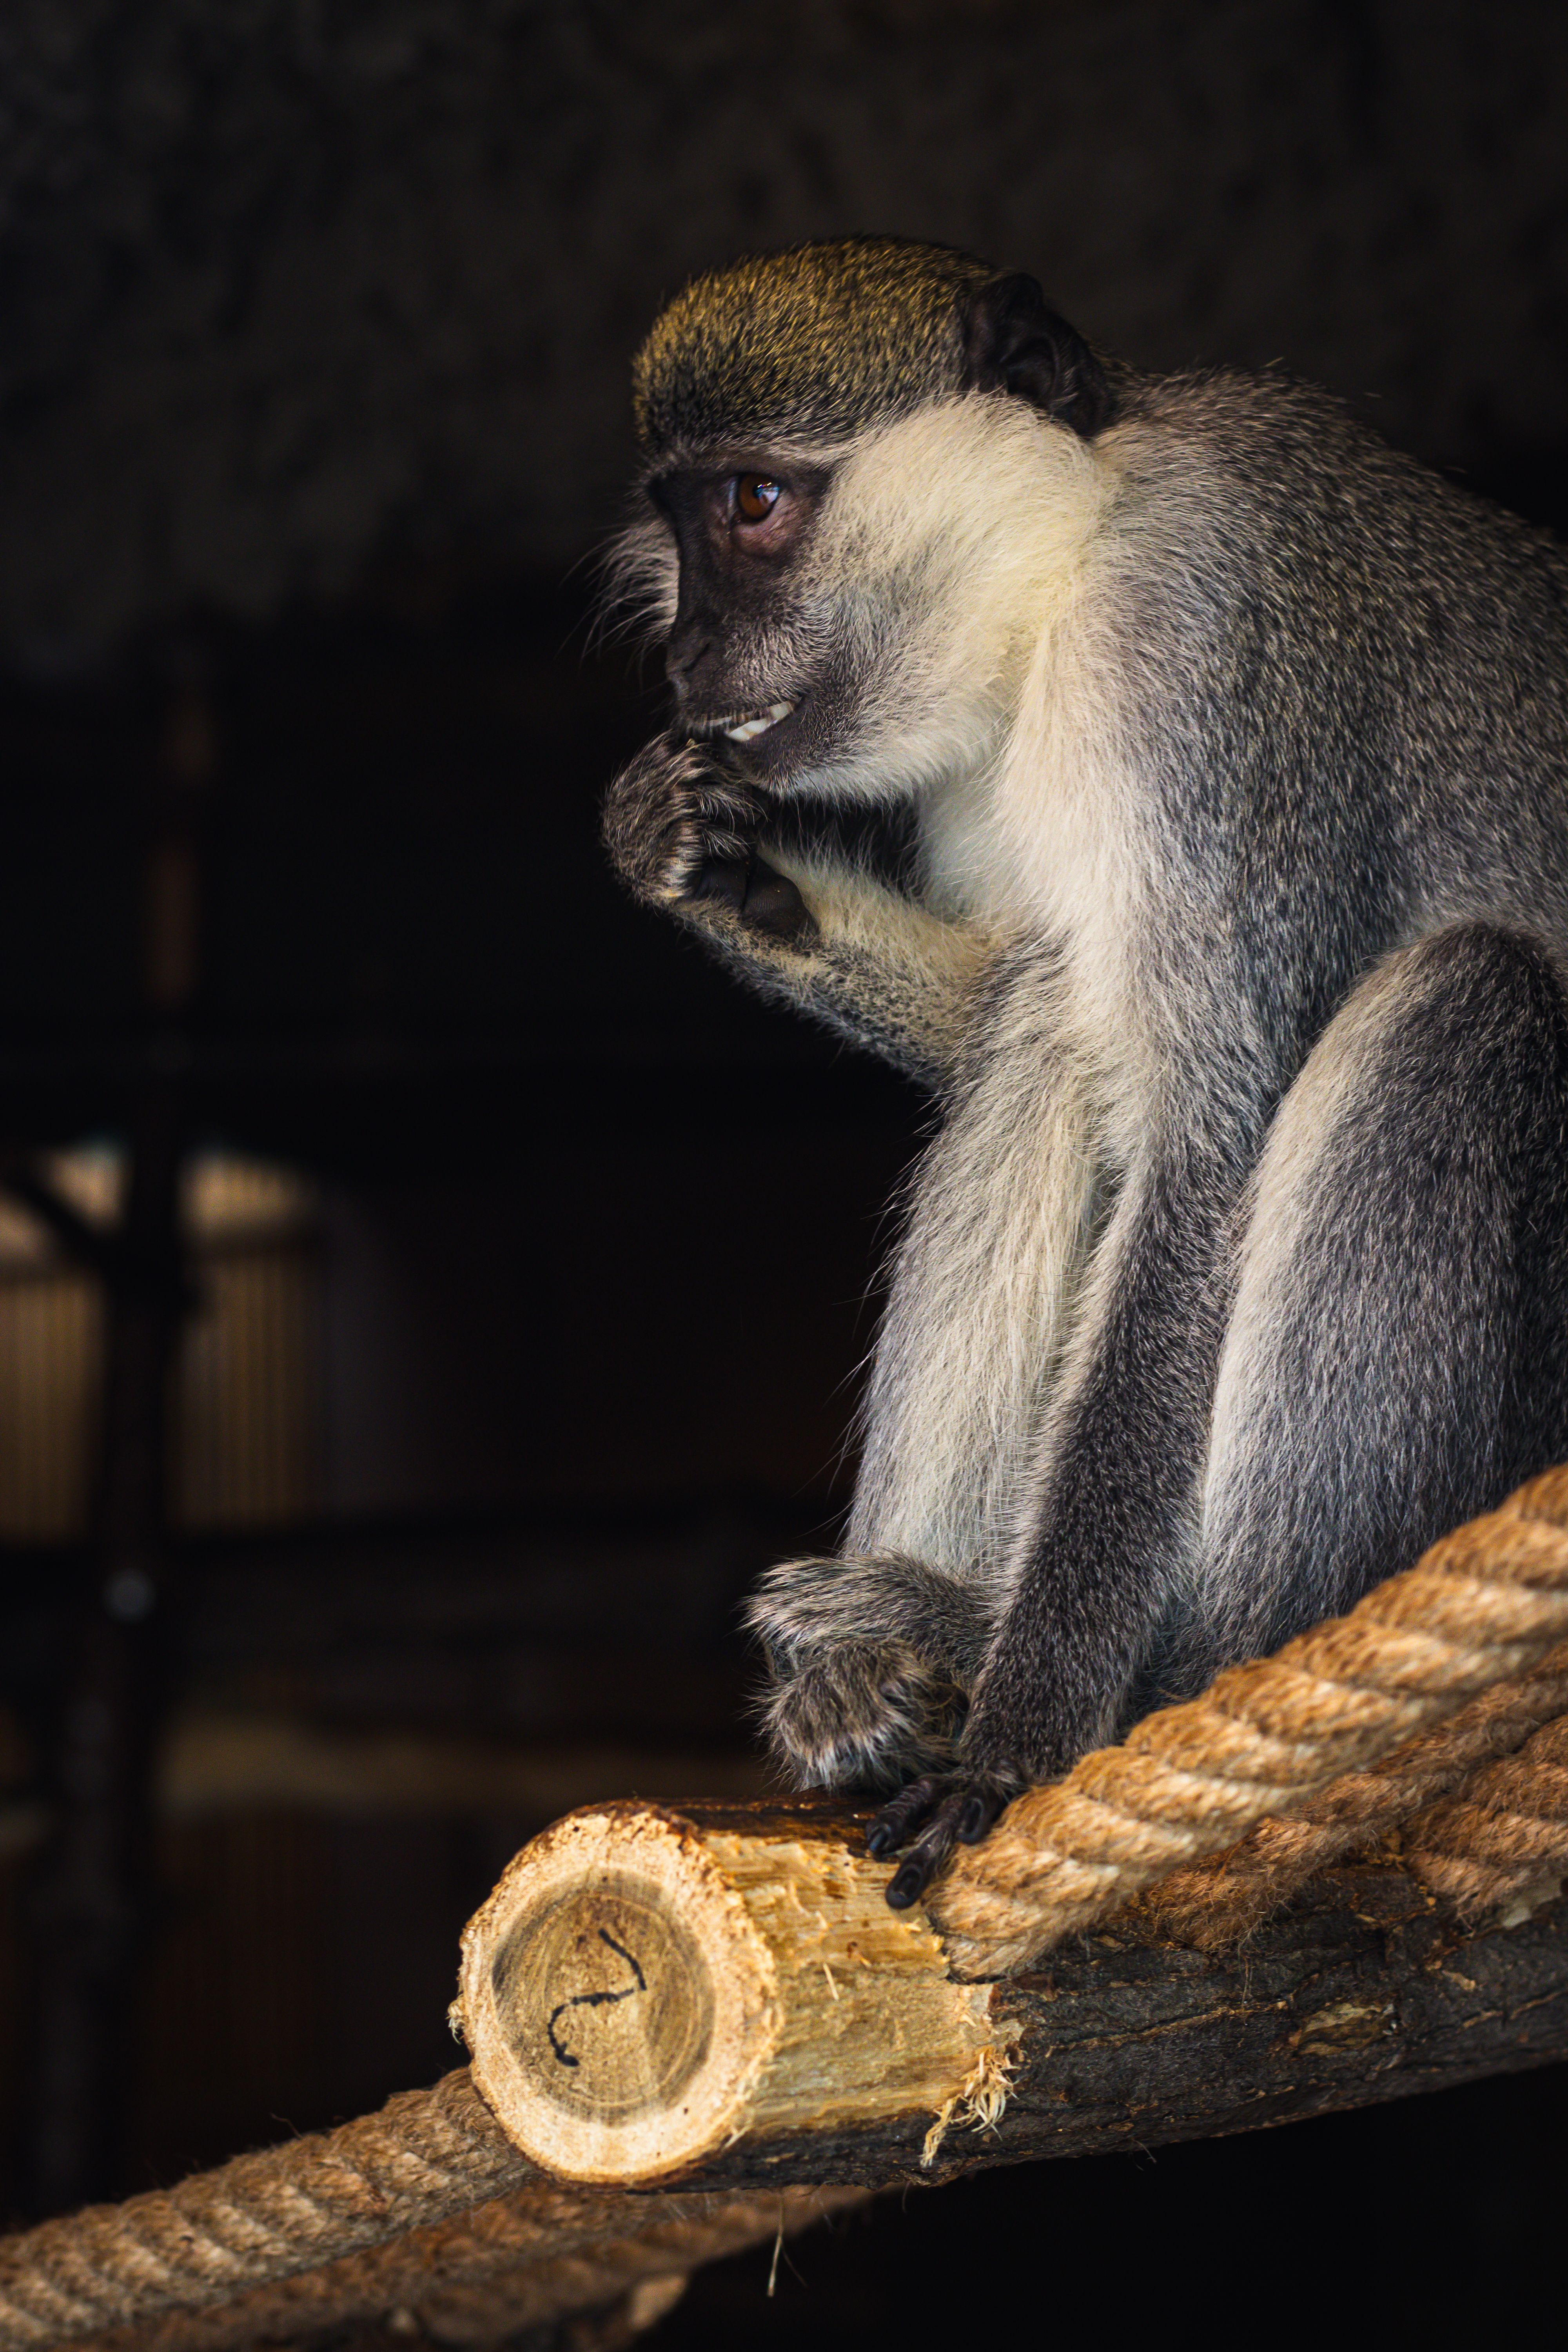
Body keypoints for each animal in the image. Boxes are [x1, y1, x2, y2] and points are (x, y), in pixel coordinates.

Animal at [600, 236, 1568, 1910]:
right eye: (679, 516)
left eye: (754, 505)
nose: (686, 649)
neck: (1065, 559)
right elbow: (1010, 1003)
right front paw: (715, 867)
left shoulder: (1194, 644)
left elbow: (1206, 1140)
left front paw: (1023, 1744)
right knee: (1048, 1022)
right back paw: (886, 1683)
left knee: (1464, 1004)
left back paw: (1170, 1661)